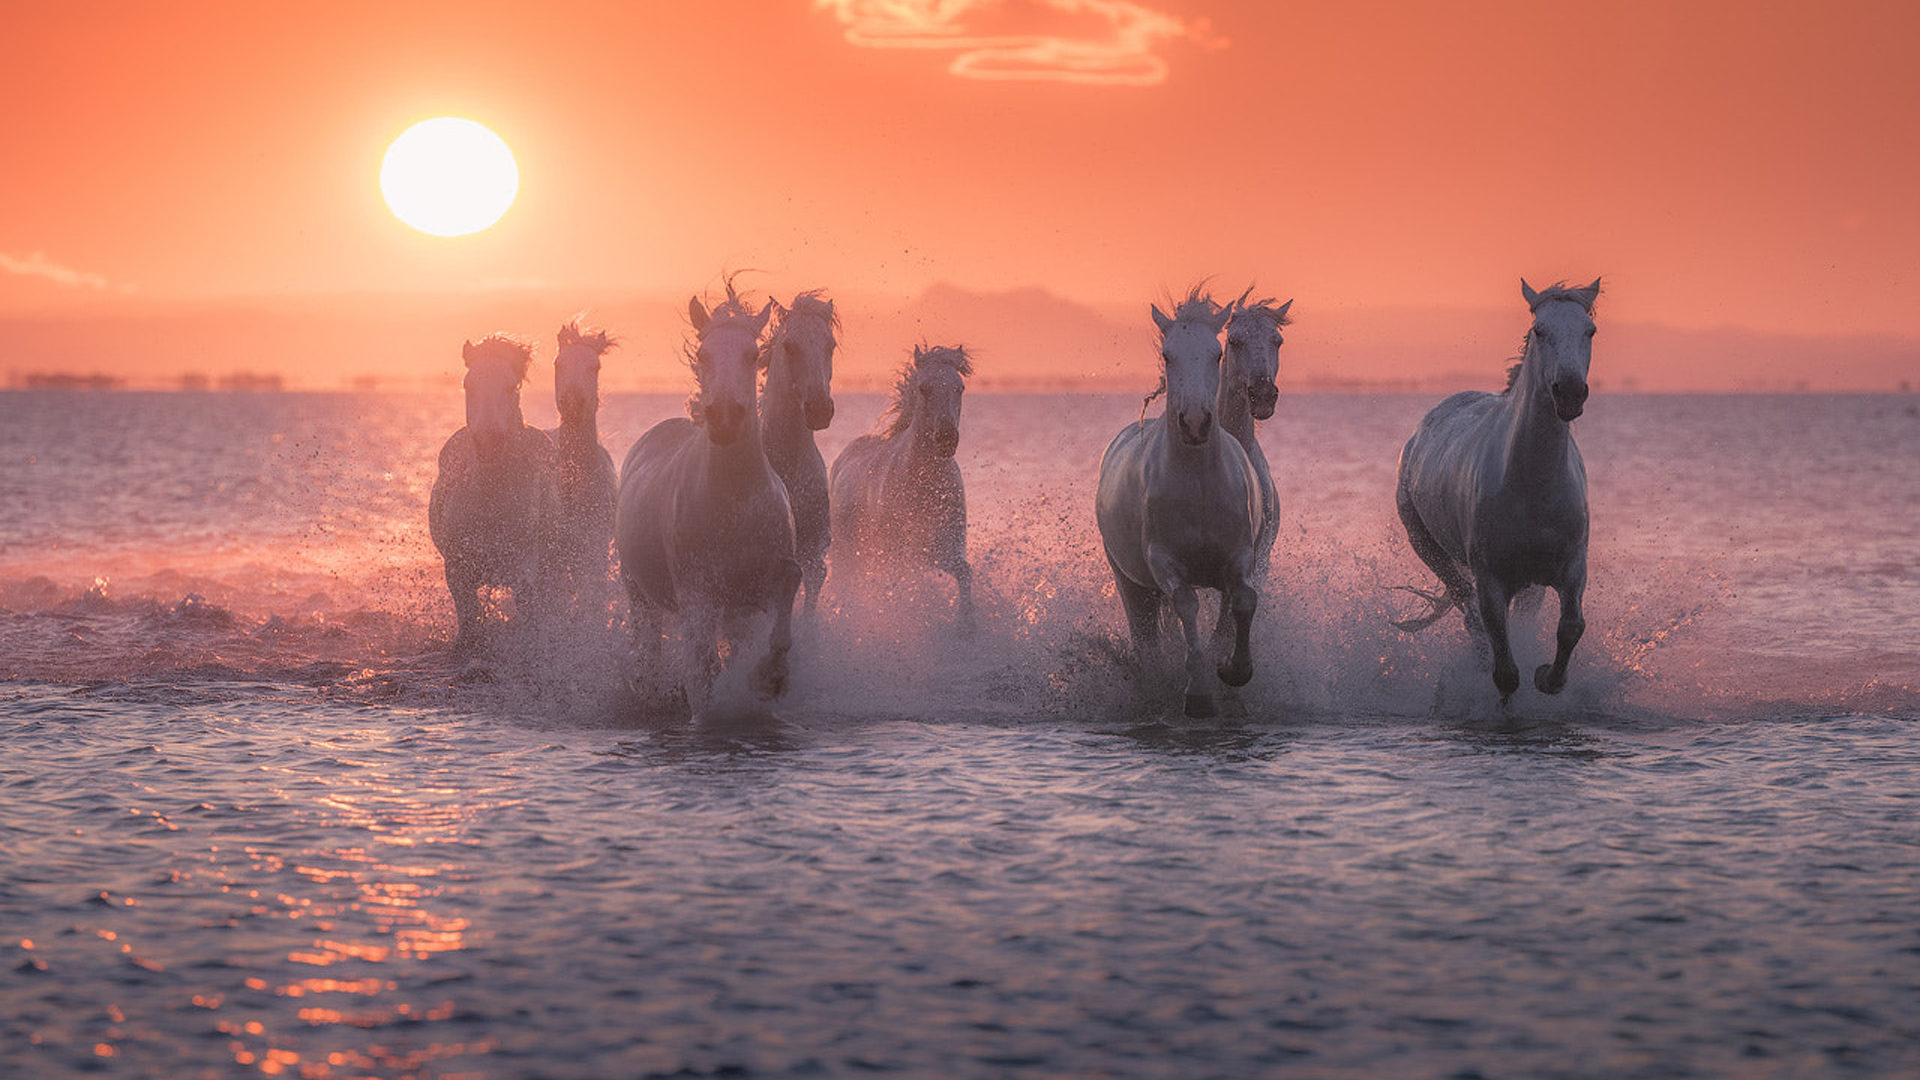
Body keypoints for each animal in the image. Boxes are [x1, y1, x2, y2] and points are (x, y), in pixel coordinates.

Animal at [428, 334, 562, 653]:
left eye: (511, 387)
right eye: (468, 385)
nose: (488, 442)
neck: (491, 499)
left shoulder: (525, 570)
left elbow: (529, 612)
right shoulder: (458, 570)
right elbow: (468, 620)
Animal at [614, 285, 798, 704]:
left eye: (754, 354)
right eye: (703, 354)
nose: (725, 418)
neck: (733, 499)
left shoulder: (760, 589)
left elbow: (780, 626)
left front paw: (772, 678)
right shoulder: (698, 596)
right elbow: (706, 668)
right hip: (639, 593)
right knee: (650, 644)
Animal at [828, 344, 976, 636]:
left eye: (960, 387)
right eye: (923, 388)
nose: (946, 439)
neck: (924, 484)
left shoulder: (943, 552)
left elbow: (964, 574)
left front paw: (965, 625)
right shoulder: (900, 557)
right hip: (846, 551)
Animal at [1096, 289, 1260, 718]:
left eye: (1217, 354)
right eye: (1169, 355)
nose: (1196, 422)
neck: (1198, 485)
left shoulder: (1238, 557)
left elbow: (1244, 601)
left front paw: (1234, 669)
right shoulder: (1164, 561)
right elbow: (1188, 605)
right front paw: (1198, 693)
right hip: (1131, 582)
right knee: (1146, 635)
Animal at [1393, 277, 1601, 702]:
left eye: (1590, 331)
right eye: (1539, 331)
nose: (1570, 392)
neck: (1532, 487)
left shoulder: (1570, 569)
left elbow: (1571, 627)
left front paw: (1548, 679)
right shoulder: (1490, 579)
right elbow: (1503, 665)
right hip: (1429, 548)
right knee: (1467, 610)